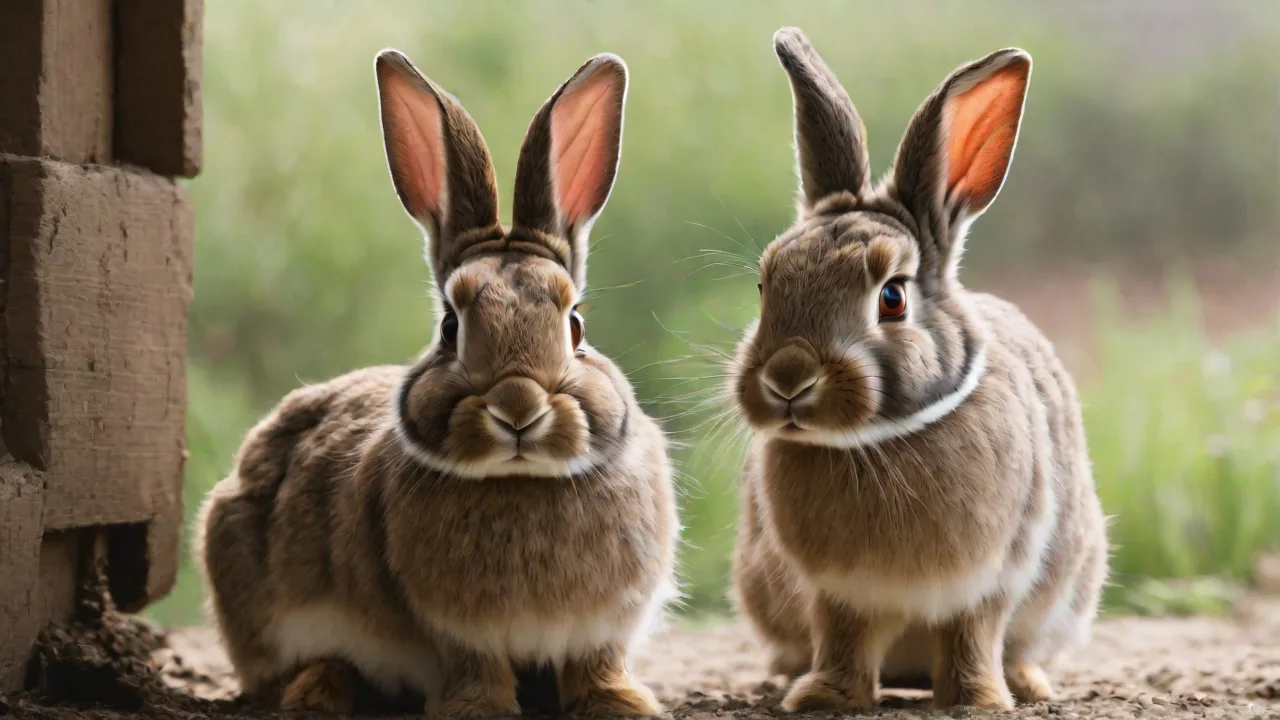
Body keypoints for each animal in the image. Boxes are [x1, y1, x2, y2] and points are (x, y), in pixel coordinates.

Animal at [195, 48, 679, 718]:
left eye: (575, 325)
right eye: (450, 327)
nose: (517, 408)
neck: (520, 481)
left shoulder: (601, 631)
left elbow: (597, 666)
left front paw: (622, 705)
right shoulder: (458, 635)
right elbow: (476, 669)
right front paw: (478, 710)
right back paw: (318, 689)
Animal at [729, 28, 1109, 712]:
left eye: (892, 297)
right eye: (766, 285)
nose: (787, 380)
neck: (877, 441)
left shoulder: (990, 582)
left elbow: (973, 636)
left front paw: (977, 699)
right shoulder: (836, 594)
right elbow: (844, 639)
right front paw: (823, 697)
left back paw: (1026, 682)